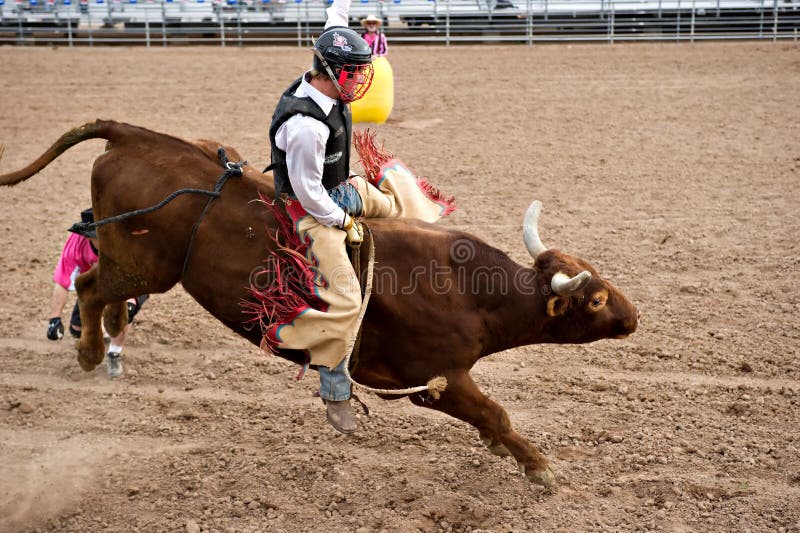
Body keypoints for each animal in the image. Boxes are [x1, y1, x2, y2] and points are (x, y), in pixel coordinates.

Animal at [0, 120, 639, 486]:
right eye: (596, 298)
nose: (633, 317)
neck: (469, 292)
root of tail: (134, 136)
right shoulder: (438, 380)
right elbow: (495, 413)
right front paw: (539, 467)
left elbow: (490, 419)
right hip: (142, 265)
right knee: (89, 287)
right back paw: (90, 352)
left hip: (136, 265)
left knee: (99, 290)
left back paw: (107, 340)